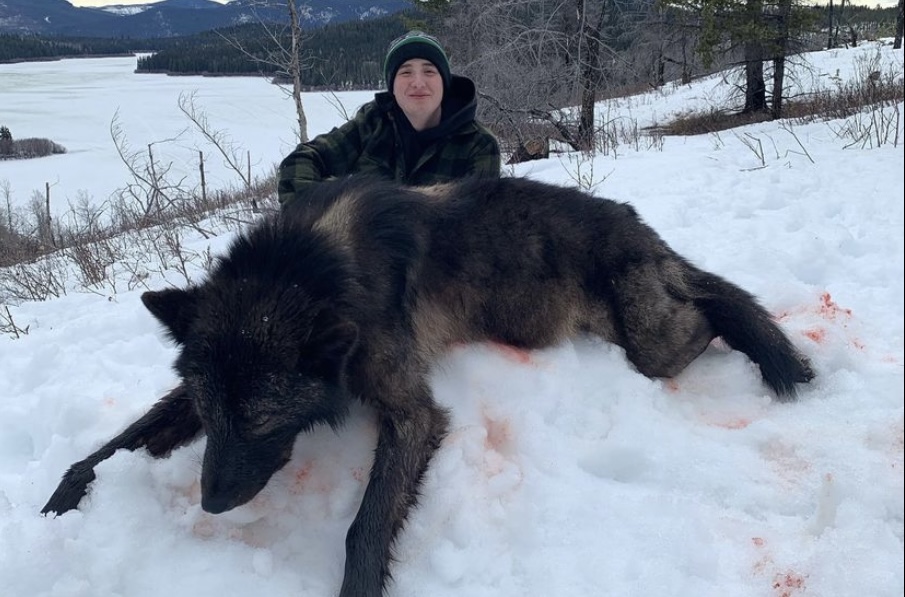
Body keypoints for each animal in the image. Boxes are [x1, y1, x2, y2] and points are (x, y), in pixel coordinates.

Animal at [42, 175, 814, 596]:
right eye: (212, 413)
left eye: (260, 420)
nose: (212, 503)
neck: (305, 270)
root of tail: (642, 229)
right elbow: (112, 445)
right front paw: (59, 503)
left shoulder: (412, 410)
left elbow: (364, 527)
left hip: (649, 340)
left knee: (707, 310)